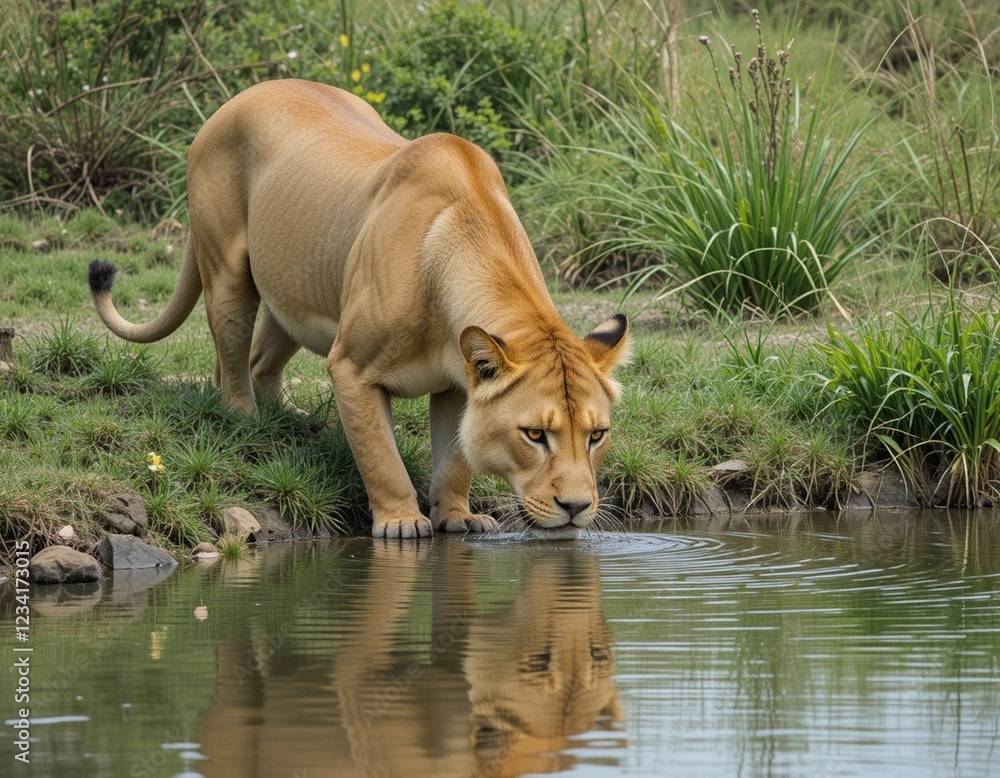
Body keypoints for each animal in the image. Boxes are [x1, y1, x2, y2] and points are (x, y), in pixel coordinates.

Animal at [88, 79, 629, 539]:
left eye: (597, 434)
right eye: (535, 434)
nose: (577, 507)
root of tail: (239, 96)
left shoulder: (459, 384)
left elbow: (454, 460)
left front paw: (458, 517)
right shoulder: (351, 368)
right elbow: (380, 456)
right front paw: (402, 522)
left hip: (297, 291)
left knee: (261, 360)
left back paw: (288, 417)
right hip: (226, 270)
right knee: (232, 355)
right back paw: (244, 418)